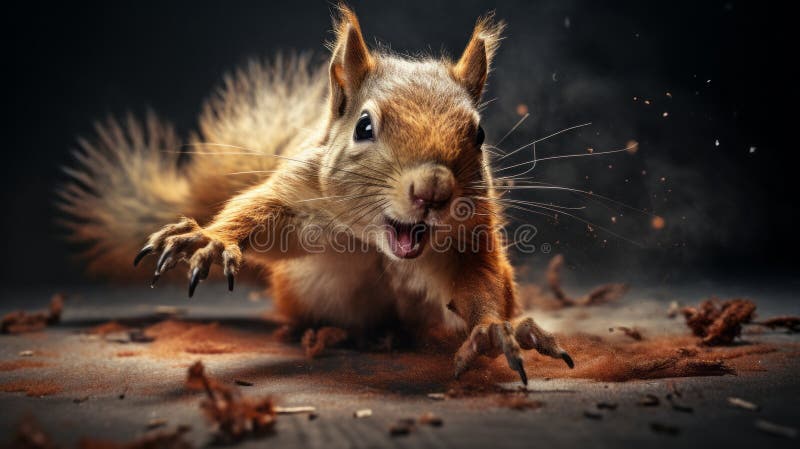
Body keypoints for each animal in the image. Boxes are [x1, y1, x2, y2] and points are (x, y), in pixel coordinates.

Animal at [58, 5, 574, 384]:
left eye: (480, 134)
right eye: (364, 126)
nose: (434, 190)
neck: (378, 245)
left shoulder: (472, 236)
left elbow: (481, 281)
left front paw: (493, 330)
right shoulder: (300, 195)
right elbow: (258, 215)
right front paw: (209, 238)